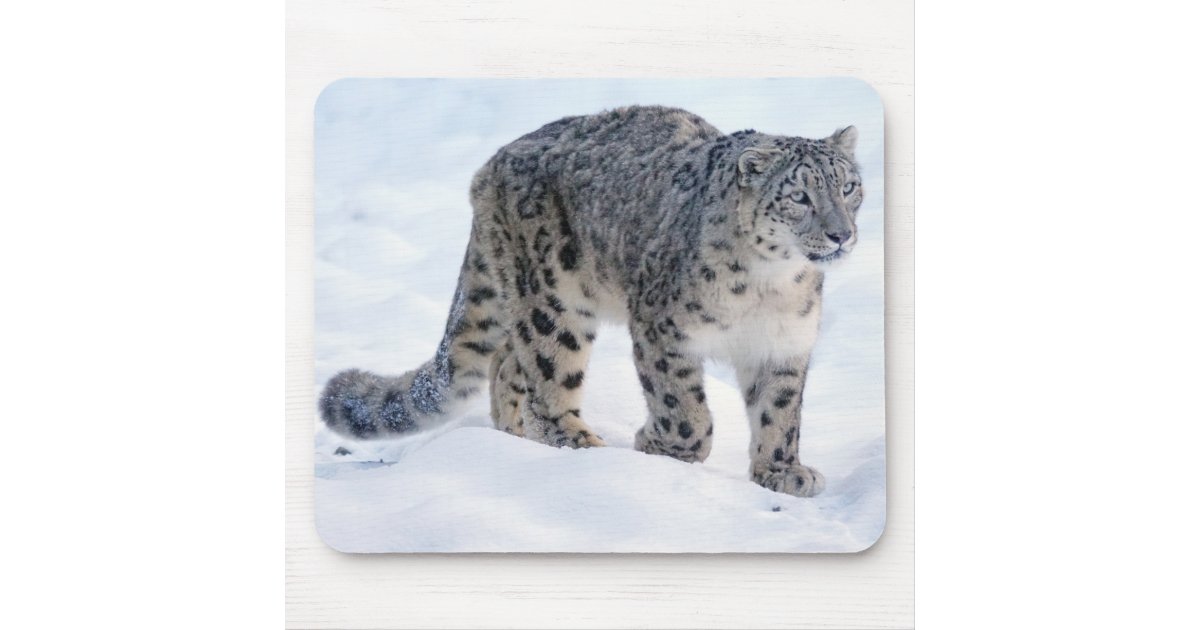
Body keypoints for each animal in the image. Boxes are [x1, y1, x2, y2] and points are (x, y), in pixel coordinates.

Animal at [319, 105, 863, 498]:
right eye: (799, 196)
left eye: (849, 186)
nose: (841, 234)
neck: (771, 285)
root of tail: (491, 166)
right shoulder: (663, 329)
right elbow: (684, 407)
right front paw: (661, 446)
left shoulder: (783, 344)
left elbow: (780, 412)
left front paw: (782, 472)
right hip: (554, 301)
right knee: (545, 375)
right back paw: (579, 445)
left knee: (507, 363)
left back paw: (514, 437)